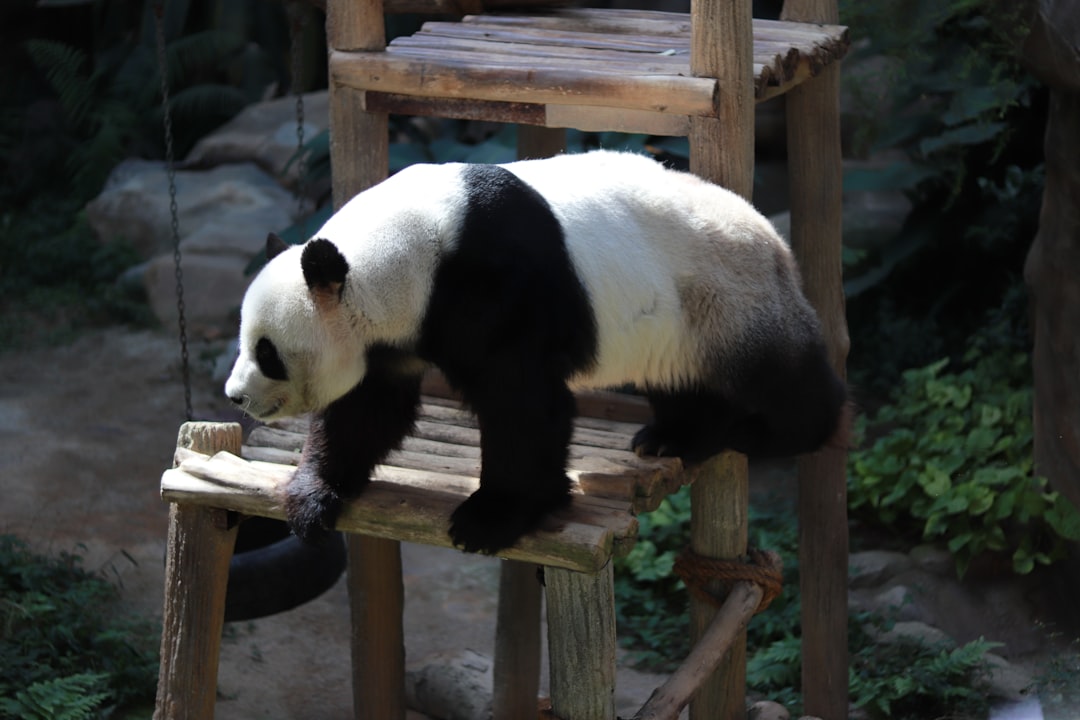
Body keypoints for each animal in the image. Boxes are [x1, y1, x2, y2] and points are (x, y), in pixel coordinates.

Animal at [225, 150, 846, 555]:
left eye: (267, 352)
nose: (235, 396)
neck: (405, 251)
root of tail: (775, 237)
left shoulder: (497, 284)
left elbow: (521, 404)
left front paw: (492, 517)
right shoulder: (393, 336)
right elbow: (366, 410)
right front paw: (312, 499)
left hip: (724, 297)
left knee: (779, 377)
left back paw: (782, 431)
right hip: (680, 324)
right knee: (681, 381)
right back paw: (676, 436)